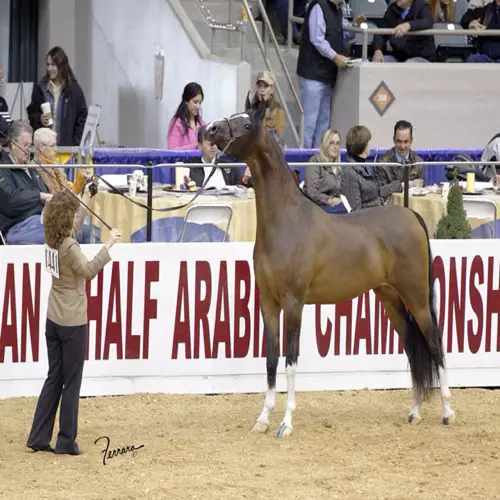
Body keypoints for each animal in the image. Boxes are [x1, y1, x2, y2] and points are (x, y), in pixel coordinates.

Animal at [204, 100, 458, 438]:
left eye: (246, 124)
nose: (210, 129)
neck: (286, 221)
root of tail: (412, 217)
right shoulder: (268, 303)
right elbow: (271, 361)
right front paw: (263, 418)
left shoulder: (293, 304)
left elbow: (291, 362)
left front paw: (286, 423)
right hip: (391, 300)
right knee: (411, 347)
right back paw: (415, 412)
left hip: (416, 298)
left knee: (435, 345)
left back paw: (447, 412)